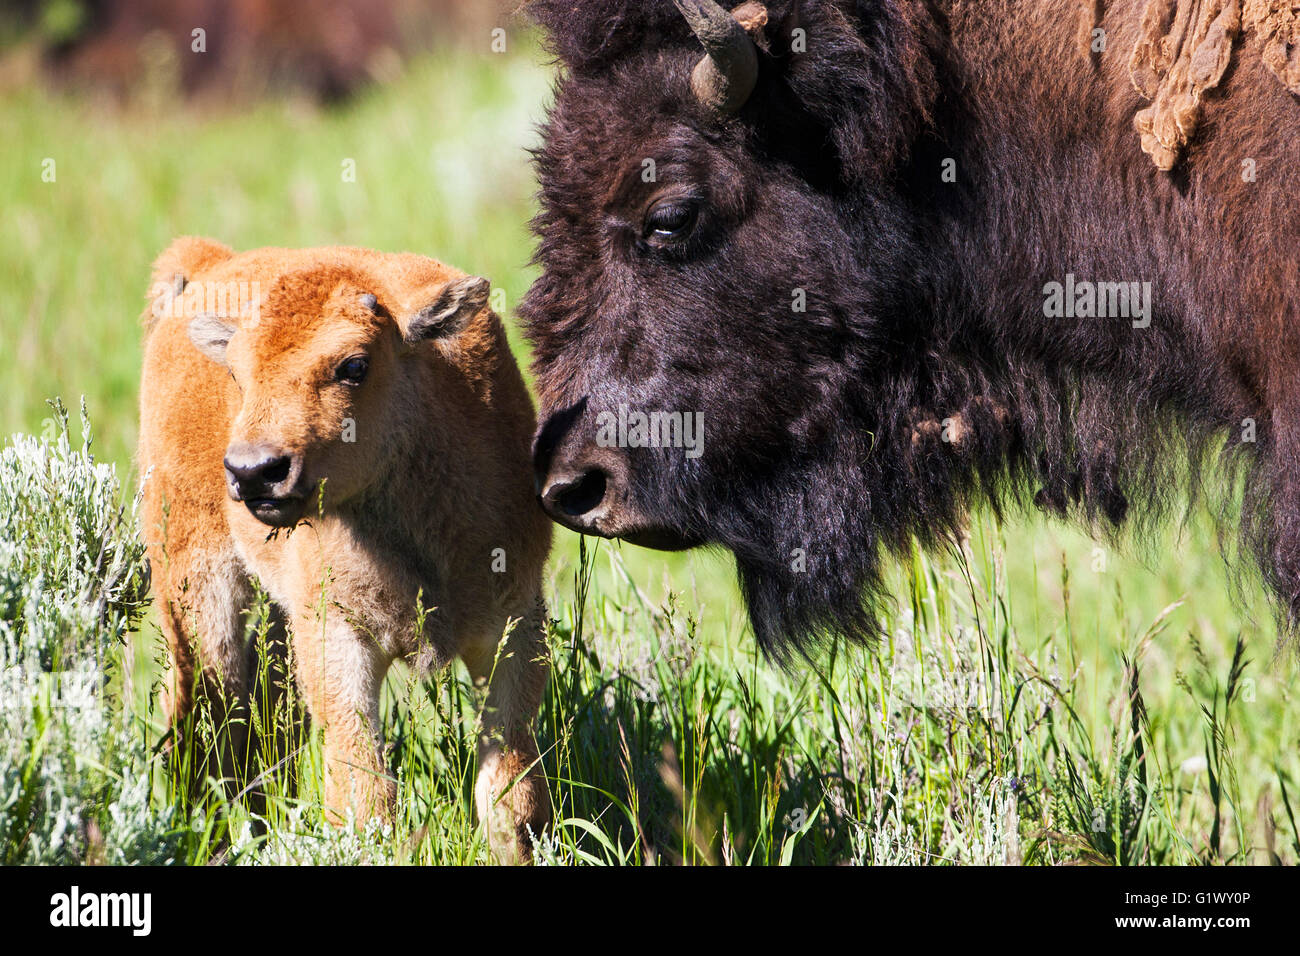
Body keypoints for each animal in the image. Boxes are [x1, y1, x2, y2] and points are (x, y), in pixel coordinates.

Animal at [138, 238, 551, 861]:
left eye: (354, 366)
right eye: (237, 371)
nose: (254, 471)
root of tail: (210, 261)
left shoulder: (513, 625)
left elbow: (511, 792)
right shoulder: (336, 632)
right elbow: (363, 788)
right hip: (195, 580)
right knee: (208, 710)